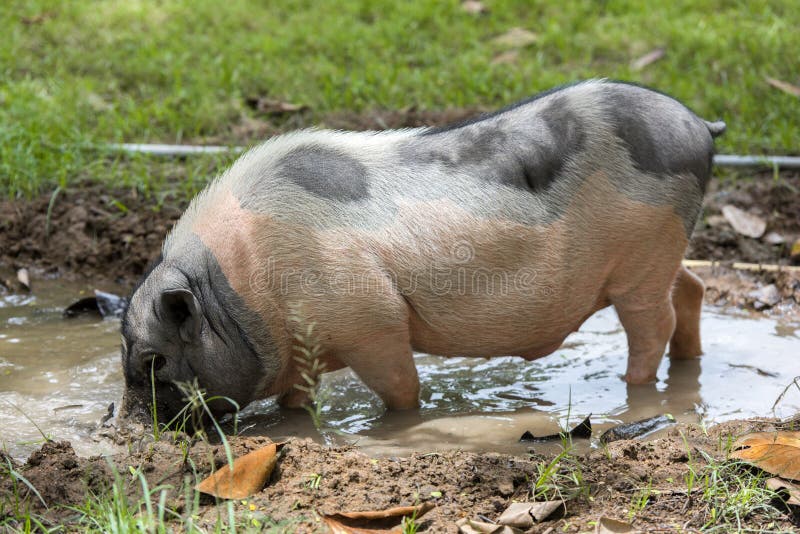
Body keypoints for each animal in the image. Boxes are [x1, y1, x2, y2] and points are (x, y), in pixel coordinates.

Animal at [120, 79, 725, 422]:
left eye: (153, 361)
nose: (130, 422)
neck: (236, 290)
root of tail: (699, 123)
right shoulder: (304, 348)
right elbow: (296, 398)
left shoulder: (372, 319)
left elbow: (400, 388)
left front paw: (402, 421)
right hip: (664, 253)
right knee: (691, 290)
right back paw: (686, 367)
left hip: (644, 256)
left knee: (654, 324)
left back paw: (634, 392)